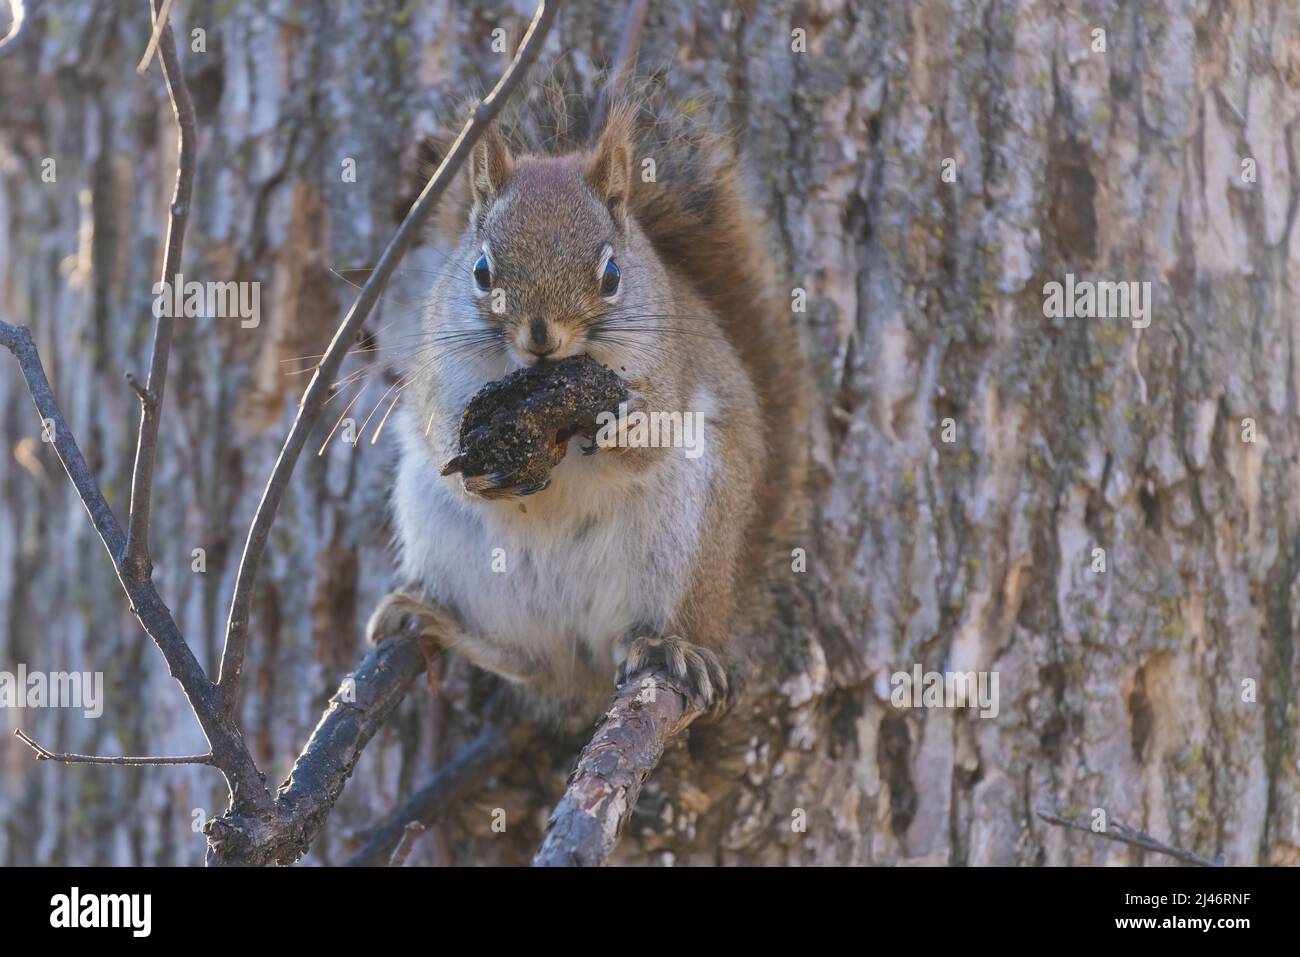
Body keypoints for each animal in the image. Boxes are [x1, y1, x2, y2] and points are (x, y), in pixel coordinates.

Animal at [365, 100, 808, 721]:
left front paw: (622, 425)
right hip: (445, 535)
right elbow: (436, 429)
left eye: (612, 275)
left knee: (641, 631)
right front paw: (478, 463)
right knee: (531, 662)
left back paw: (668, 645)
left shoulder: (669, 369)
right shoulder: (437, 373)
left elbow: (652, 436)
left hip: (687, 540)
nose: (541, 336)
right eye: (481, 271)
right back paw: (436, 620)